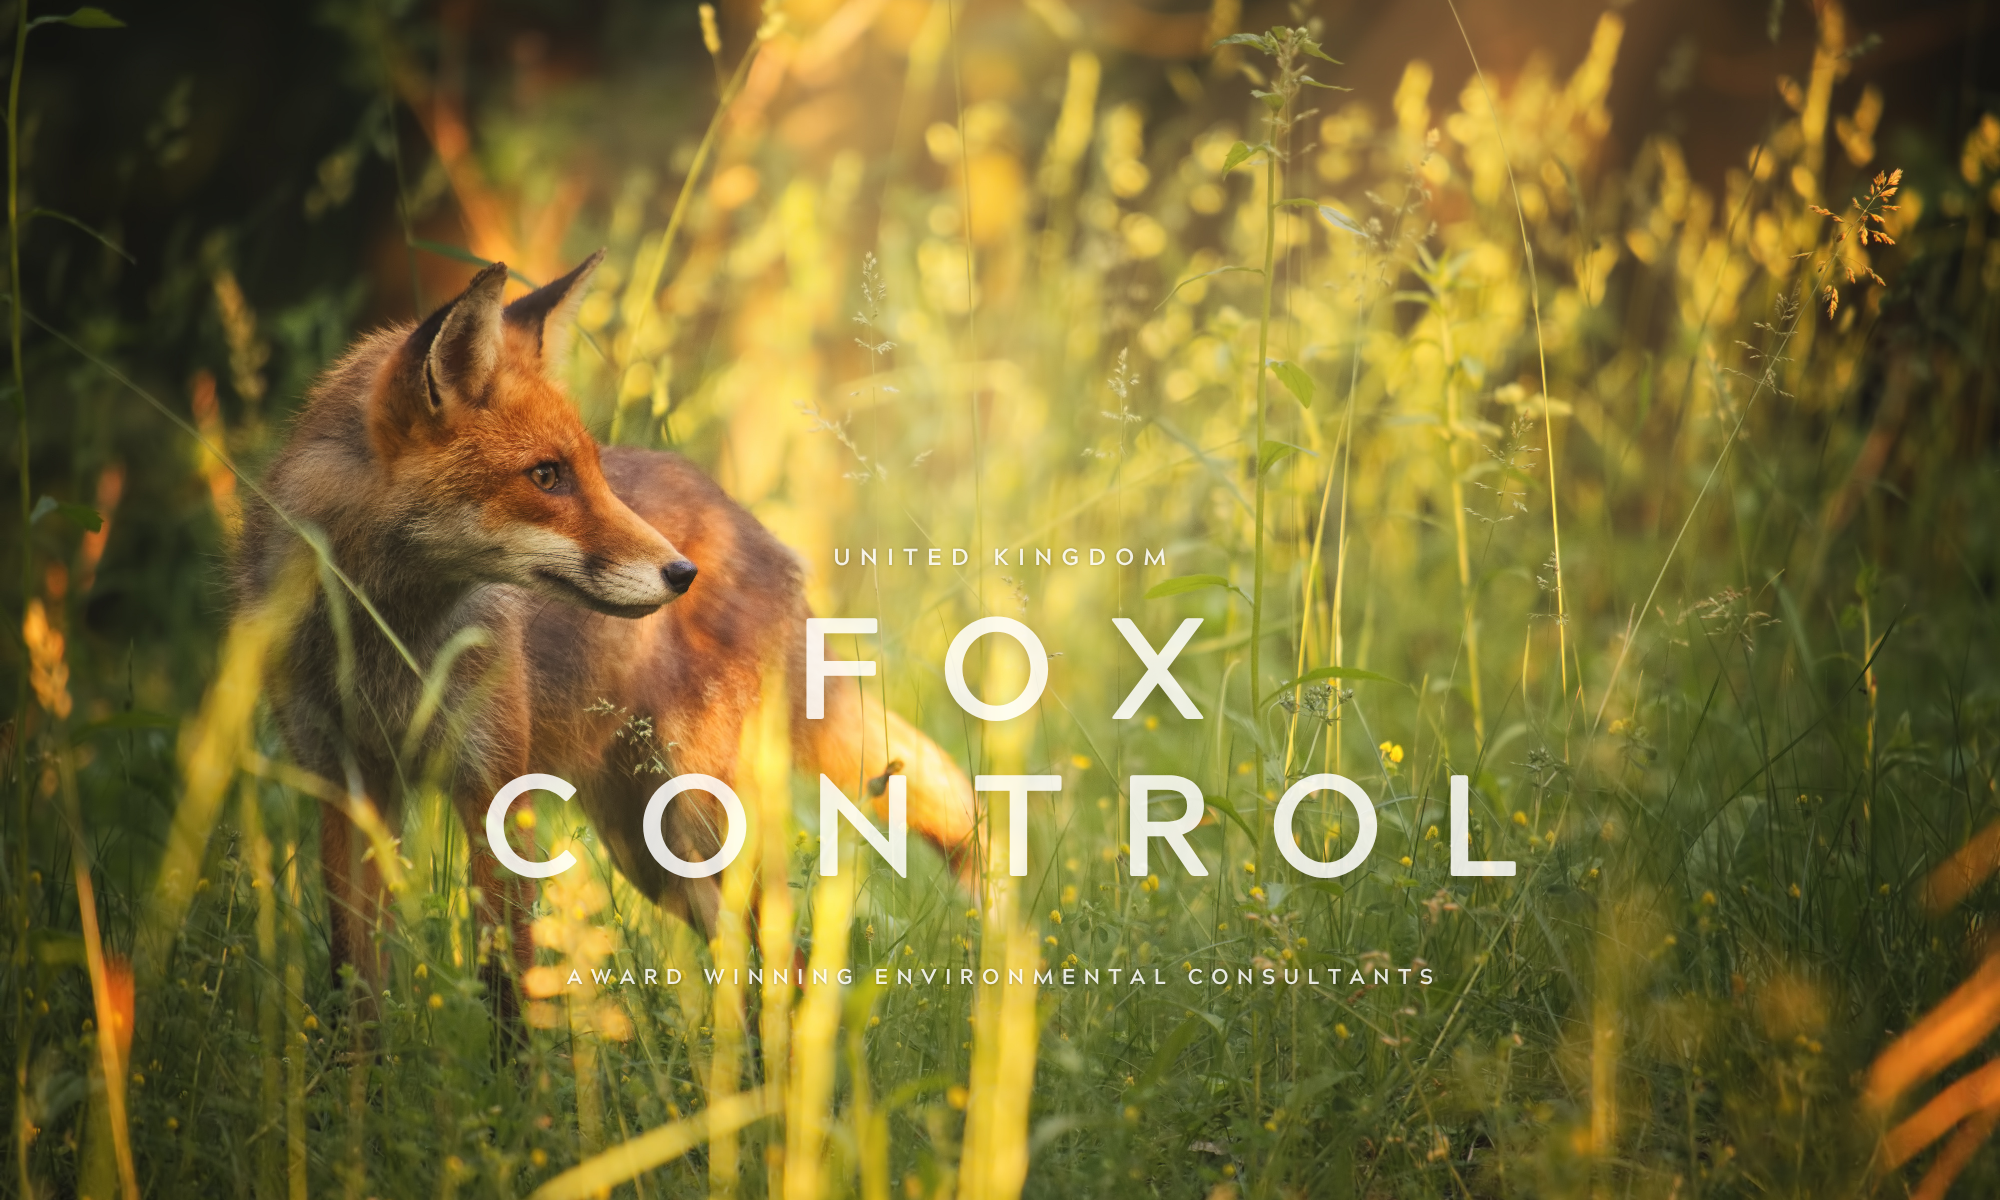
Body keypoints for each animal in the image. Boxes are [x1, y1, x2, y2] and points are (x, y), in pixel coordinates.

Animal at [234, 254, 977, 1015]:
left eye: (591, 469)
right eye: (546, 475)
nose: (682, 572)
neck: (385, 641)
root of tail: (756, 531)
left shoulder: (496, 787)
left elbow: (509, 986)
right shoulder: (341, 783)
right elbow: (353, 988)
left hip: (701, 820)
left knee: (788, 963)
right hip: (650, 850)